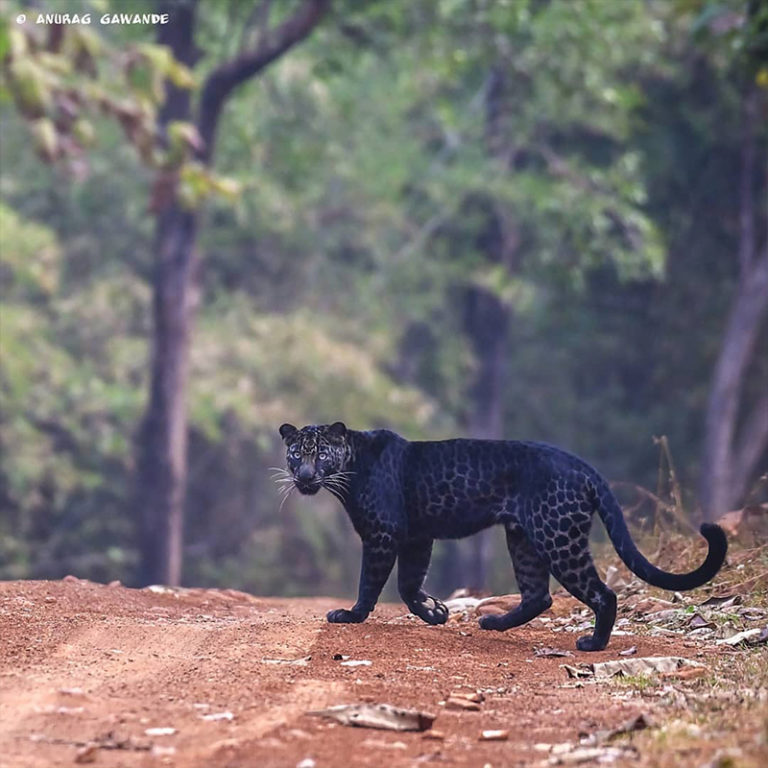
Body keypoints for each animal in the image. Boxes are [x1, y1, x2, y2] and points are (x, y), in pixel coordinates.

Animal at [276, 421, 727, 651]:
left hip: (556, 537)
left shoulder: (384, 534)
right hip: (523, 539)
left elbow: (372, 582)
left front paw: (350, 615)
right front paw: (436, 612)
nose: (305, 476)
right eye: (296, 454)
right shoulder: (418, 537)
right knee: (538, 595)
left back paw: (593, 644)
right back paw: (494, 623)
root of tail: (582, 466)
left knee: (602, 593)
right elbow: (408, 583)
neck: (350, 468)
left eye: (320, 453)